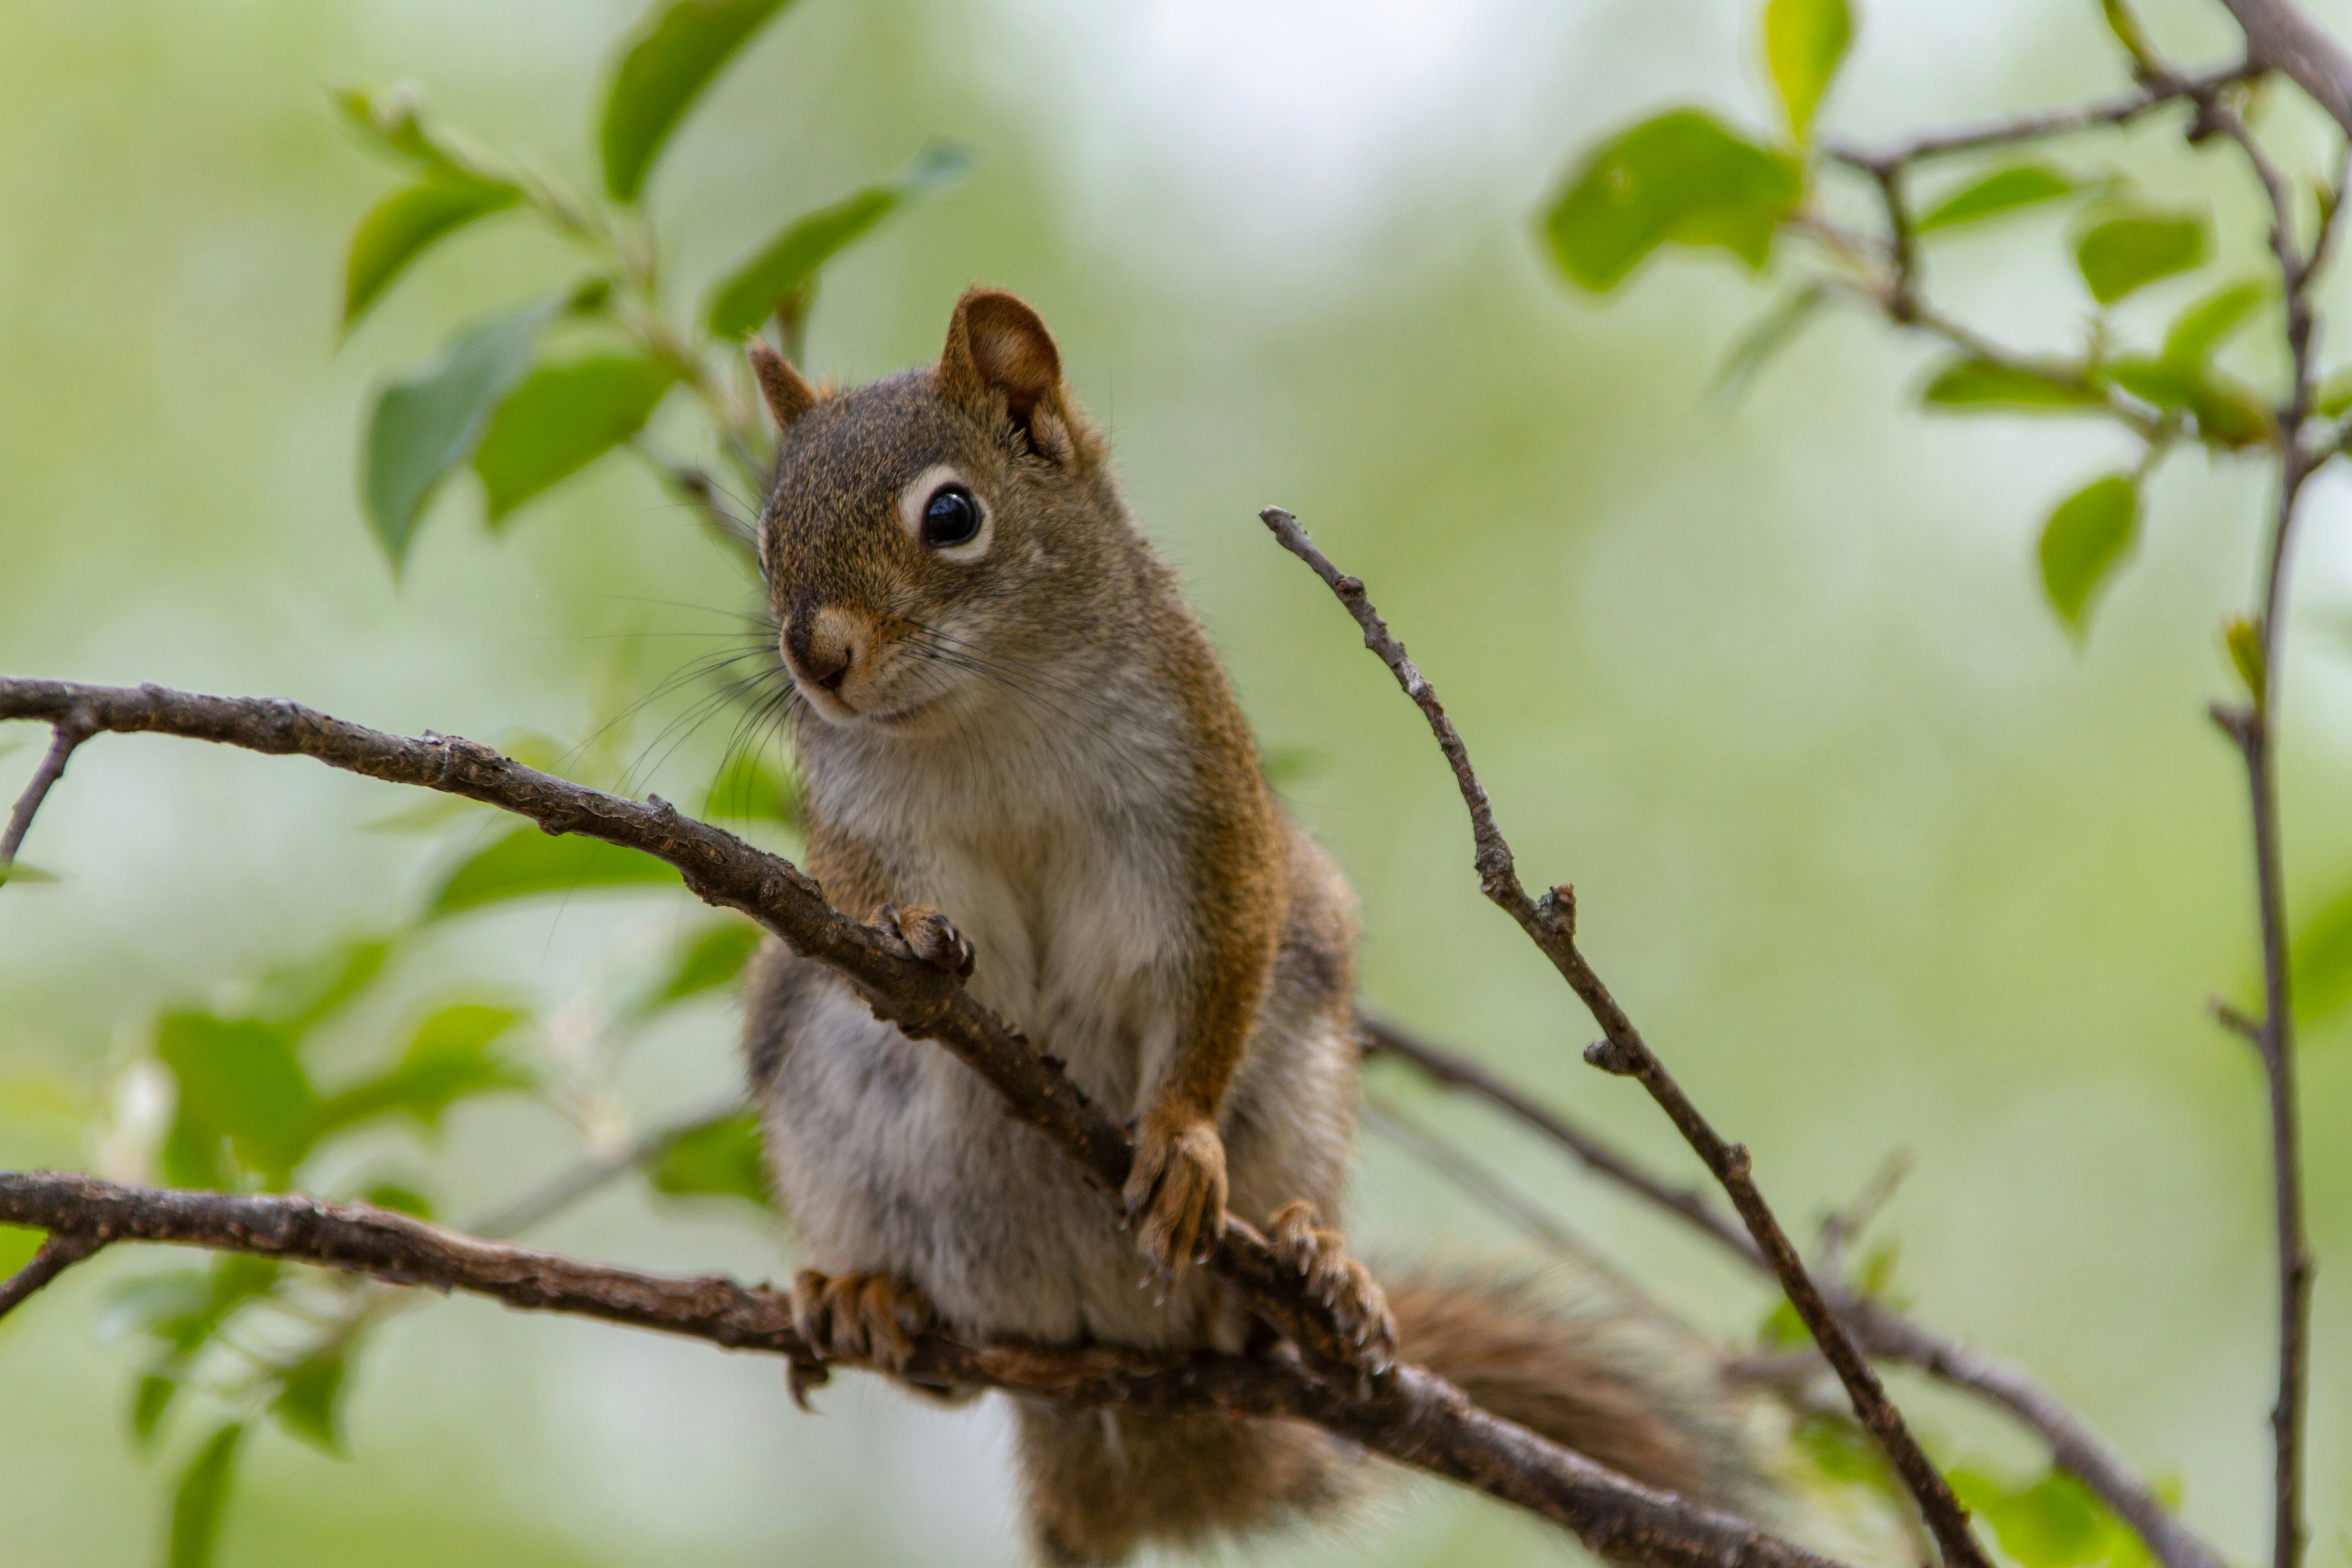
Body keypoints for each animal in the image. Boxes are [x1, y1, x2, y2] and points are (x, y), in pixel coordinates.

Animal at [739, 288, 1755, 1565]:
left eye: (953, 515)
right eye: (766, 536)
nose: (814, 657)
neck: (984, 717)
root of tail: (1110, 1373)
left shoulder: (1203, 810)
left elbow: (1213, 962)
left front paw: (1182, 1141)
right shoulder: (855, 817)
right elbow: (872, 905)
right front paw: (911, 937)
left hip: (1304, 1061)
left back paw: (1319, 1270)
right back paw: (868, 1297)